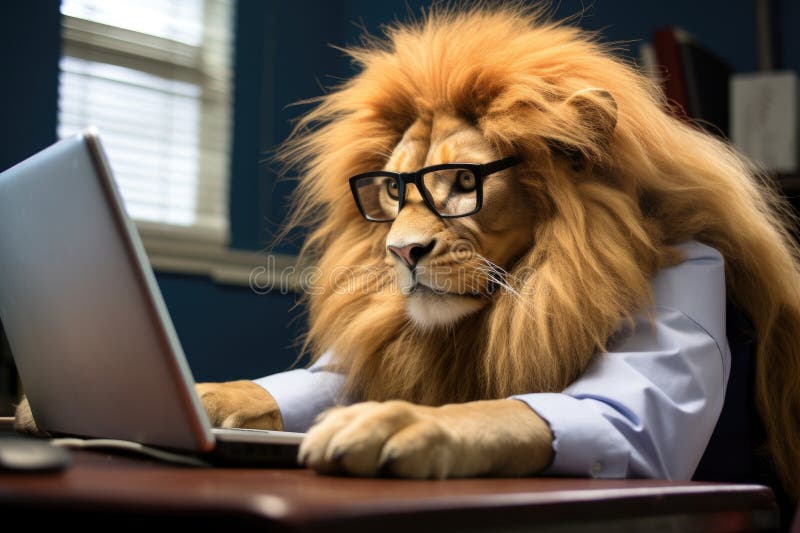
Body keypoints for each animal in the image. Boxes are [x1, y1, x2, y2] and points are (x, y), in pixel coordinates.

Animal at [16, 5, 800, 502]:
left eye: (463, 184)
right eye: (391, 190)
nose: (402, 251)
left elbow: (533, 410)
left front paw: (402, 423)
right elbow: (300, 385)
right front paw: (201, 394)